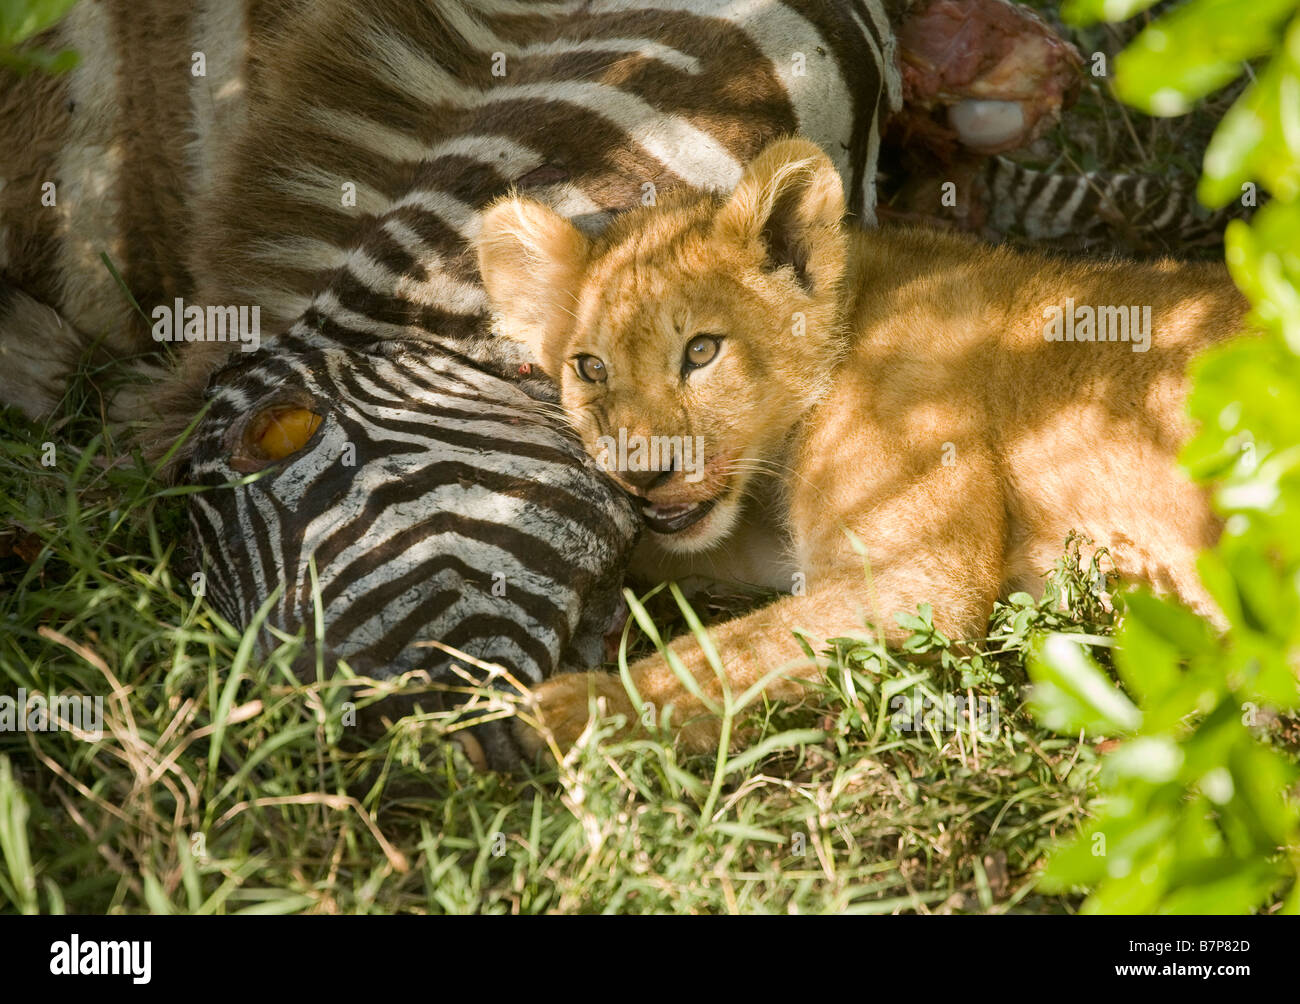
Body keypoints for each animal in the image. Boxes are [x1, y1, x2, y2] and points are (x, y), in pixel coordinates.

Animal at [475, 137, 1249, 757]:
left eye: (701, 350)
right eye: (590, 368)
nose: (642, 476)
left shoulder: (922, 579)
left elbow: (735, 649)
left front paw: (573, 710)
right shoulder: (775, 553)